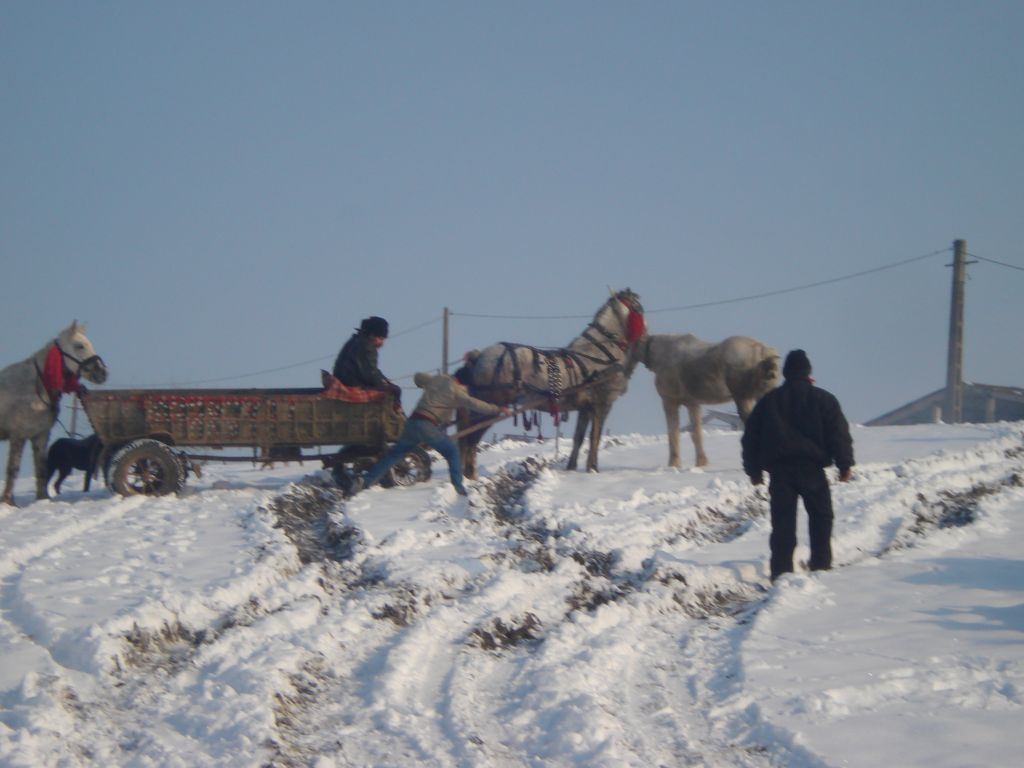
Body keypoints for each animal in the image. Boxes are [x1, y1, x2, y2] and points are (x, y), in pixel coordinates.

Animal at [0, 323, 108, 507]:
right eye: (79, 346)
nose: (102, 373)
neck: (33, 387)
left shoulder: (40, 435)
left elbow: (41, 468)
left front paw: (43, 497)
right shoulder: (18, 436)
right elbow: (13, 469)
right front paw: (8, 502)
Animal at [460, 290, 643, 479]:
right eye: (638, 307)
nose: (645, 331)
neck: (600, 355)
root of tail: (479, 355)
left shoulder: (585, 408)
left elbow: (579, 437)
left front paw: (572, 467)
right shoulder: (602, 404)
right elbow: (595, 437)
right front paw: (593, 468)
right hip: (488, 407)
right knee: (470, 437)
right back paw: (469, 476)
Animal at [626, 331, 778, 466]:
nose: (625, 369)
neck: (660, 355)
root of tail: (763, 352)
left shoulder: (669, 401)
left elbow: (673, 433)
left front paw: (673, 464)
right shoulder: (693, 403)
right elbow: (696, 434)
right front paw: (701, 463)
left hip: (743, 398)